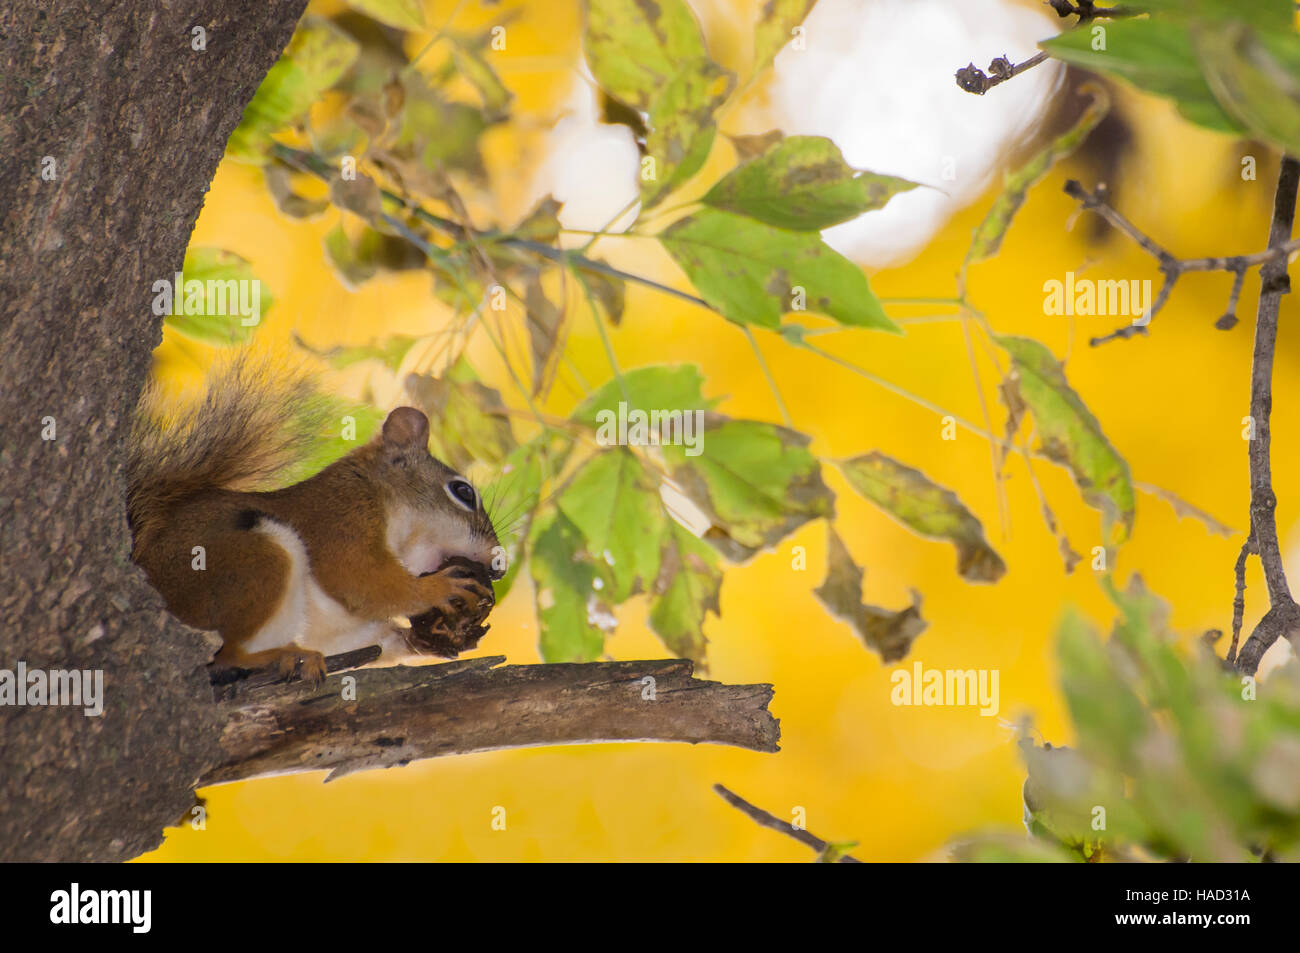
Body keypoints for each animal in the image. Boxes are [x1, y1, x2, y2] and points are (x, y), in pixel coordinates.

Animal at [126, 357, 504, 682]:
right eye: (462, 491)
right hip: (252, 559)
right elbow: (361, 580)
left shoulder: (346, 628)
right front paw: (442, 587)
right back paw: (284, 655)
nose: (499, 568)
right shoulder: (341, 518)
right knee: (230, 654)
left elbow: (378, 635)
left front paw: (430, 637)